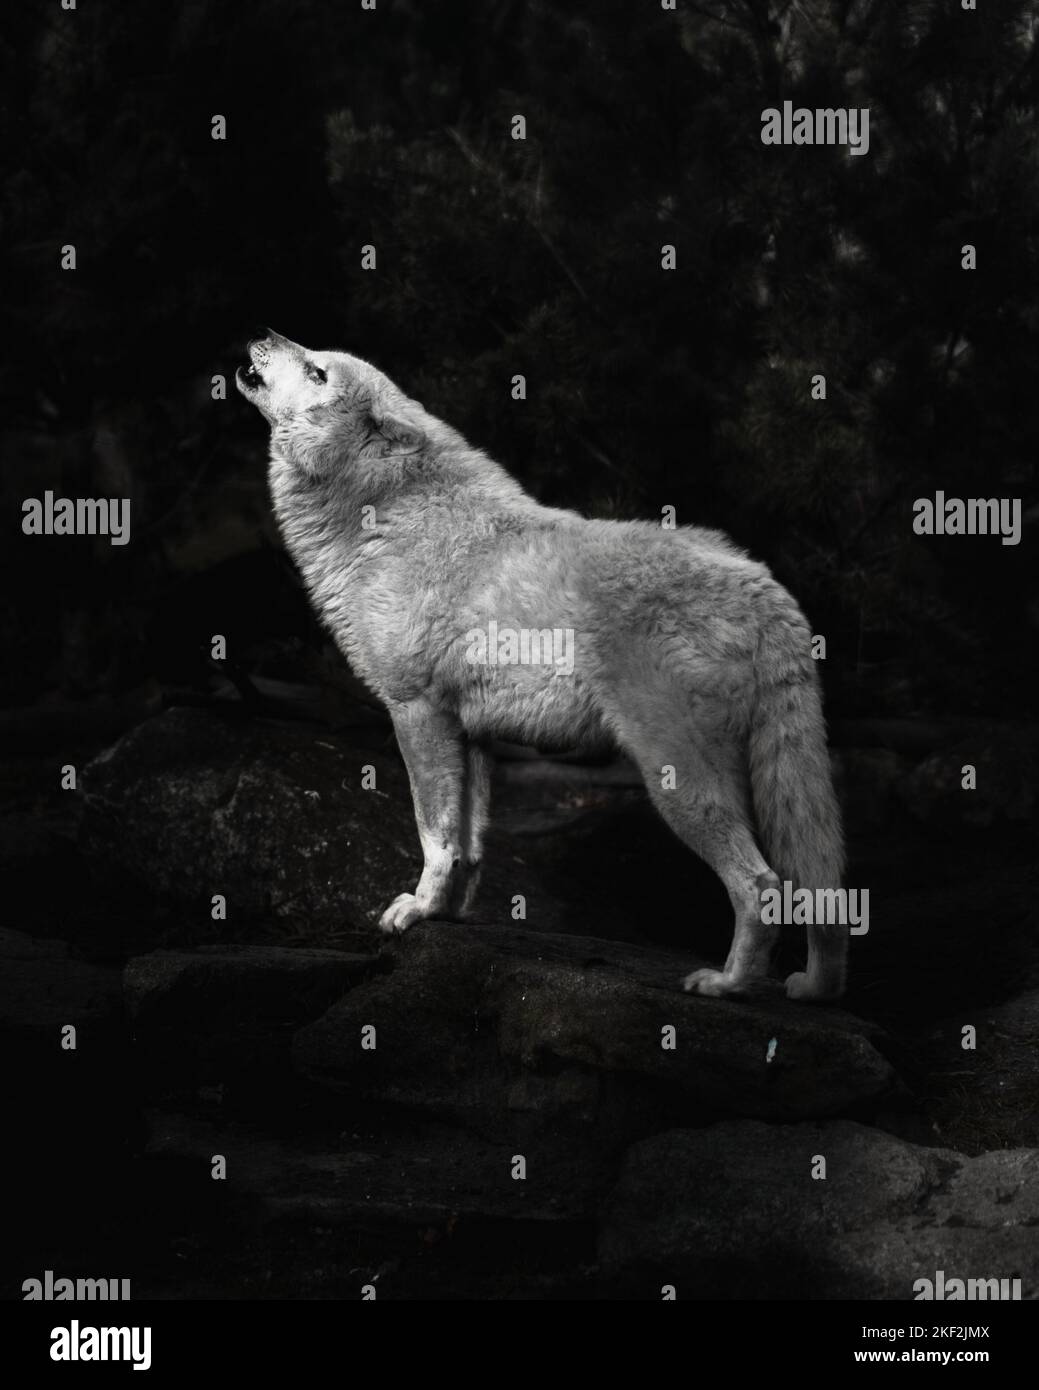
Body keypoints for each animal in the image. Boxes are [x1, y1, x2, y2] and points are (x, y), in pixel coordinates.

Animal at [237, 330, 847, 1001]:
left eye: (318, 372)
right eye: (307, 354)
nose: (265, 335)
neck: (385, 517)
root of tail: (769, 591)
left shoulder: (415, 711)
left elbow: (434, 834)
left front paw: (416, 912)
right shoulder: (470, 735)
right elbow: (469, 845)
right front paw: (448, 916)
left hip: (678, 783)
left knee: (761, 884)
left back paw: (725, 984)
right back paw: (811, 988)